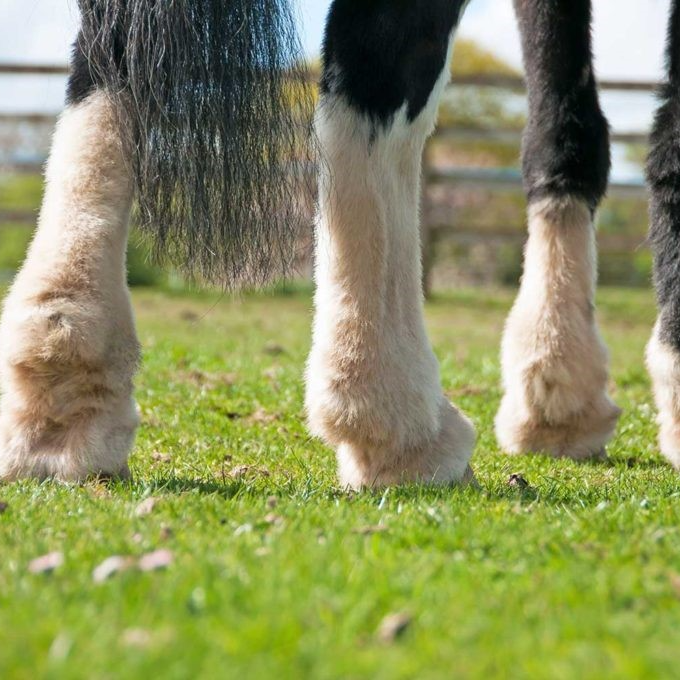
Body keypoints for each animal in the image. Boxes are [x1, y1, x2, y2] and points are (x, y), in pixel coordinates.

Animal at [0, 0, 677, 488]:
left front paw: (557, 387)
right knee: (378, 74)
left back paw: (63, 392)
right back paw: (399, 425)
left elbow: (560, 130)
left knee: (107, 60)